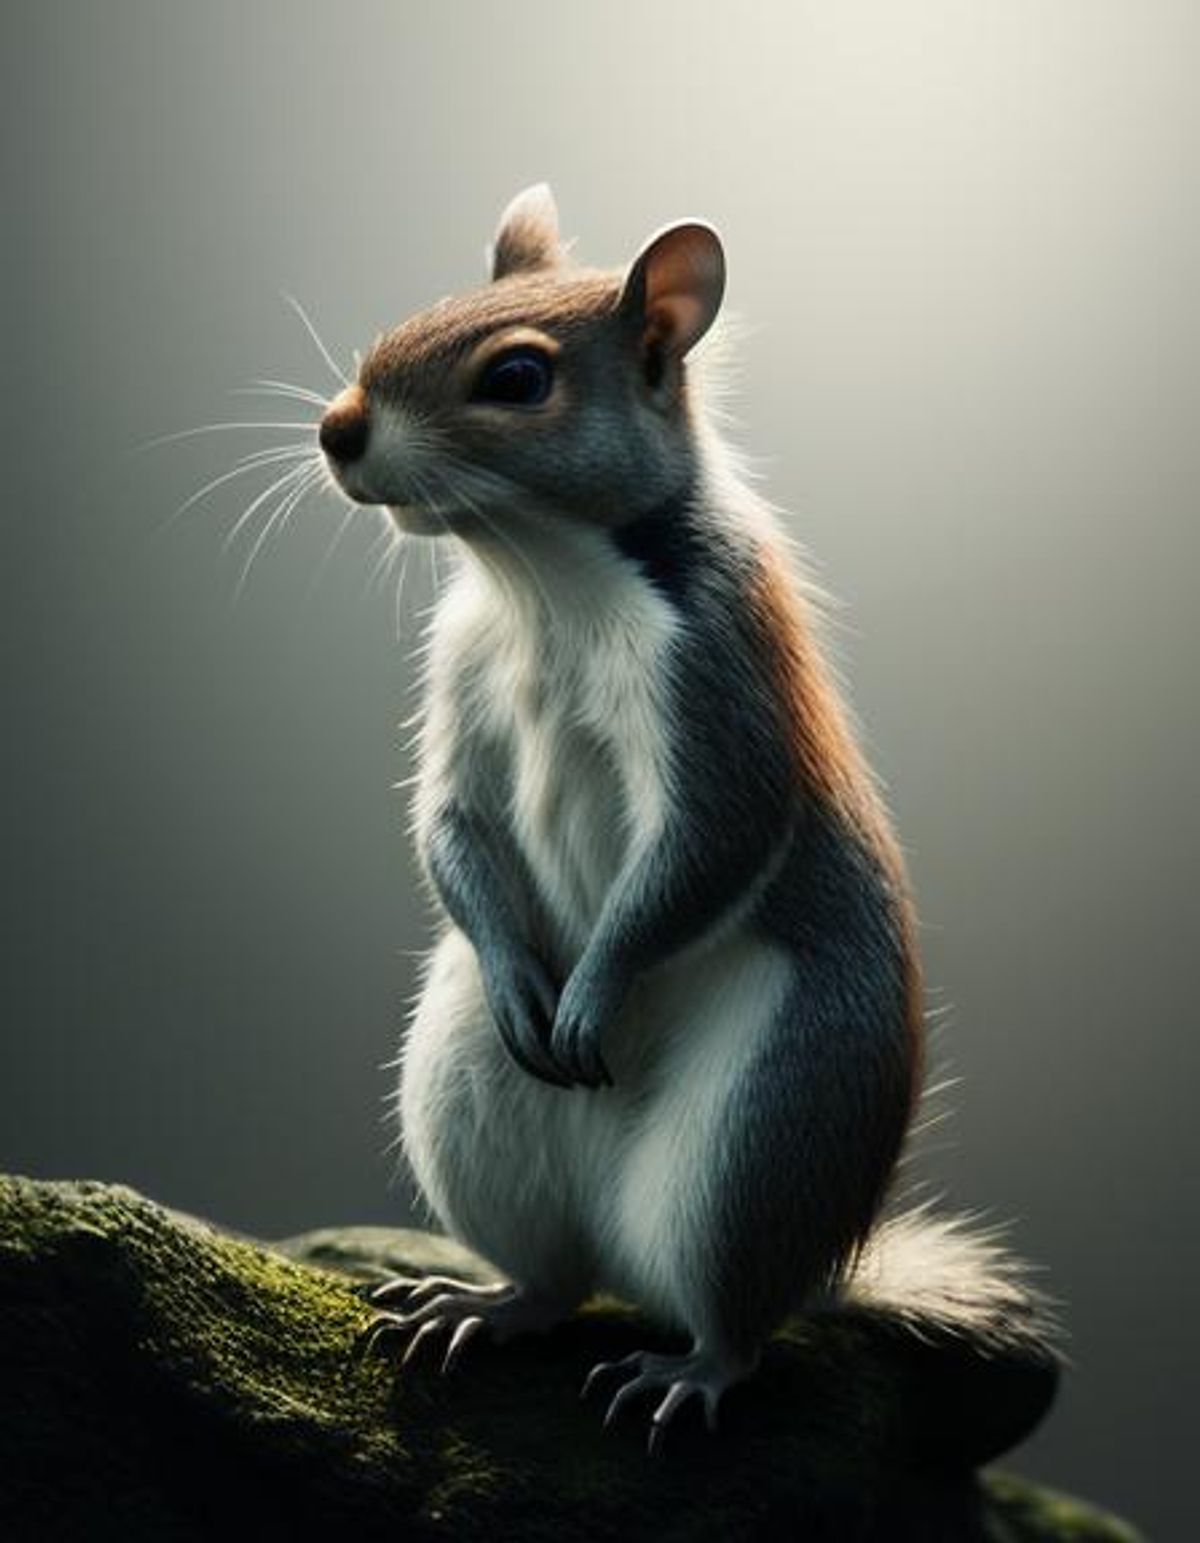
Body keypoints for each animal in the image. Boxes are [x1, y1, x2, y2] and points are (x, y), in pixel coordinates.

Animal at [322, 185, 1049, 1449]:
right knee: (554, 1276)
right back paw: (486, 1303)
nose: (335, 430)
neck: (541, 570)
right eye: (416, 311)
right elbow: (451, 821)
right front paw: (530, 981)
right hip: (466, 1093)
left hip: (761, 1132)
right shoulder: (460, 664)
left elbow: (708, 848)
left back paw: (693, 1370)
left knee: (734, 1318)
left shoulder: (721, 678)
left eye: (518, 377)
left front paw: (594, 992)